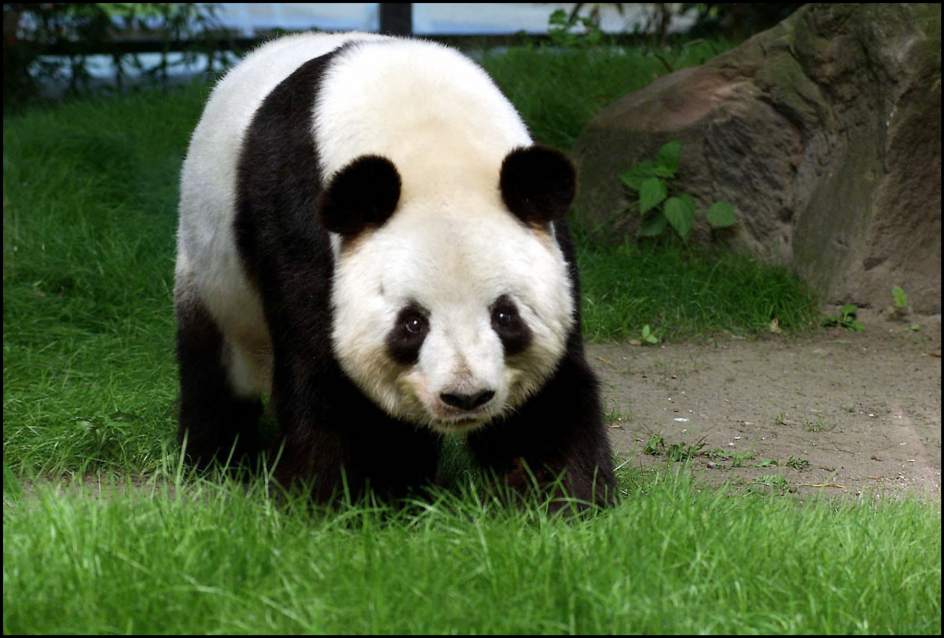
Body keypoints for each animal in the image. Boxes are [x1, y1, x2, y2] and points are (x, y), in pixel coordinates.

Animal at [175, 32, 616, 508]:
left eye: (505, 315)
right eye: (412, 323)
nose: (466, 397)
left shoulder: (552, 244)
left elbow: (550, 392)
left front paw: (562, 498)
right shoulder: (299, 222)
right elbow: (329, 379)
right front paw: (341, 500)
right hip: (209, 271)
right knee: (212, 366)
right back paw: (216, 460)